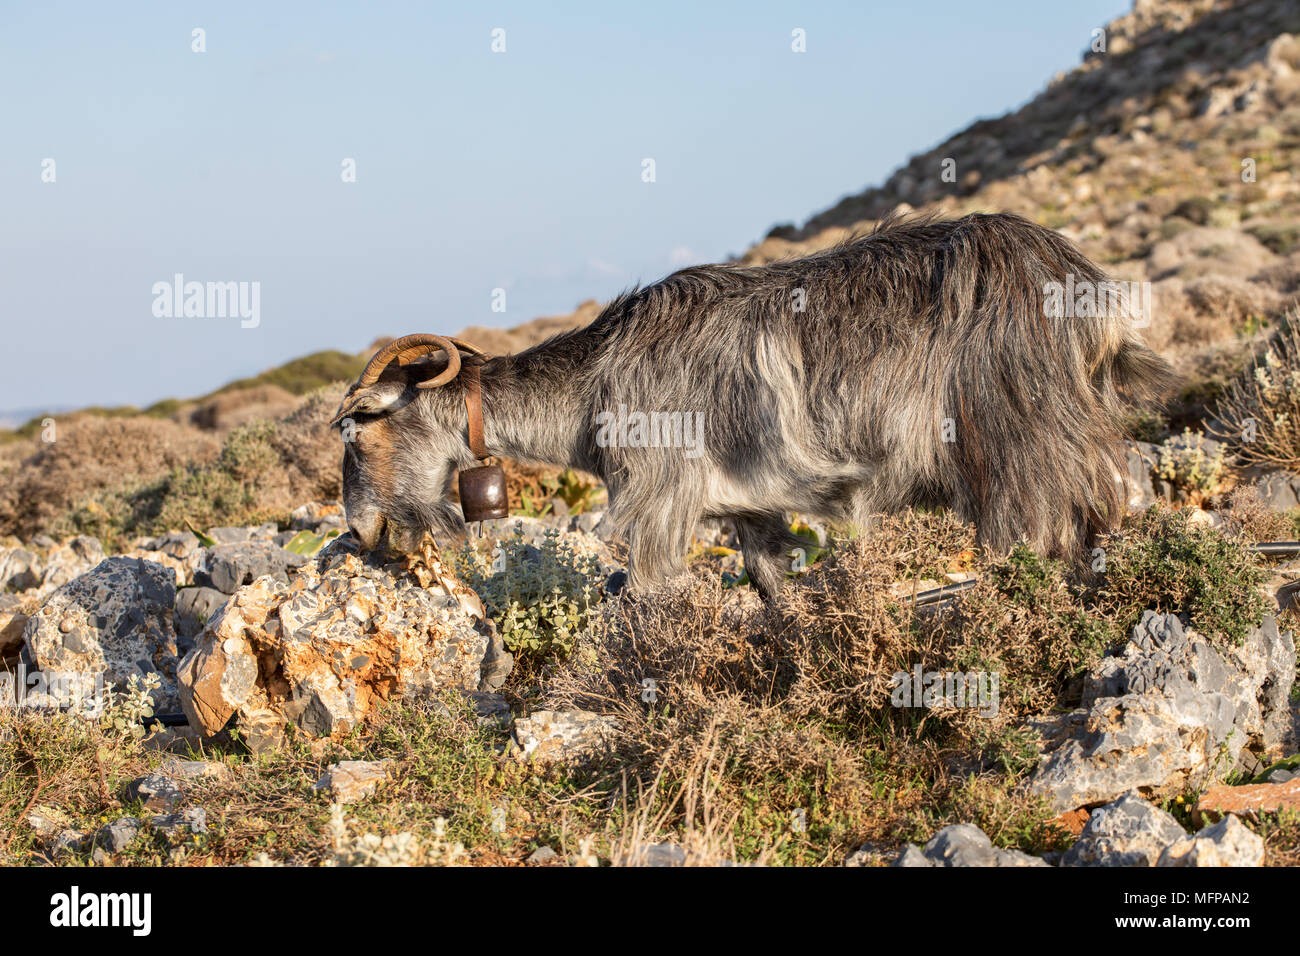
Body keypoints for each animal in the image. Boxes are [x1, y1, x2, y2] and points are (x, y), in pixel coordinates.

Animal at [332, 212, 1174, 600]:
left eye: (359, 425)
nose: (363, 532)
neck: (595, 382)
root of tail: (1085, 288)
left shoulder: (658, 503)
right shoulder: (751, 510)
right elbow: (773, 588)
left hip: (1014, 440)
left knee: (1052, 529)